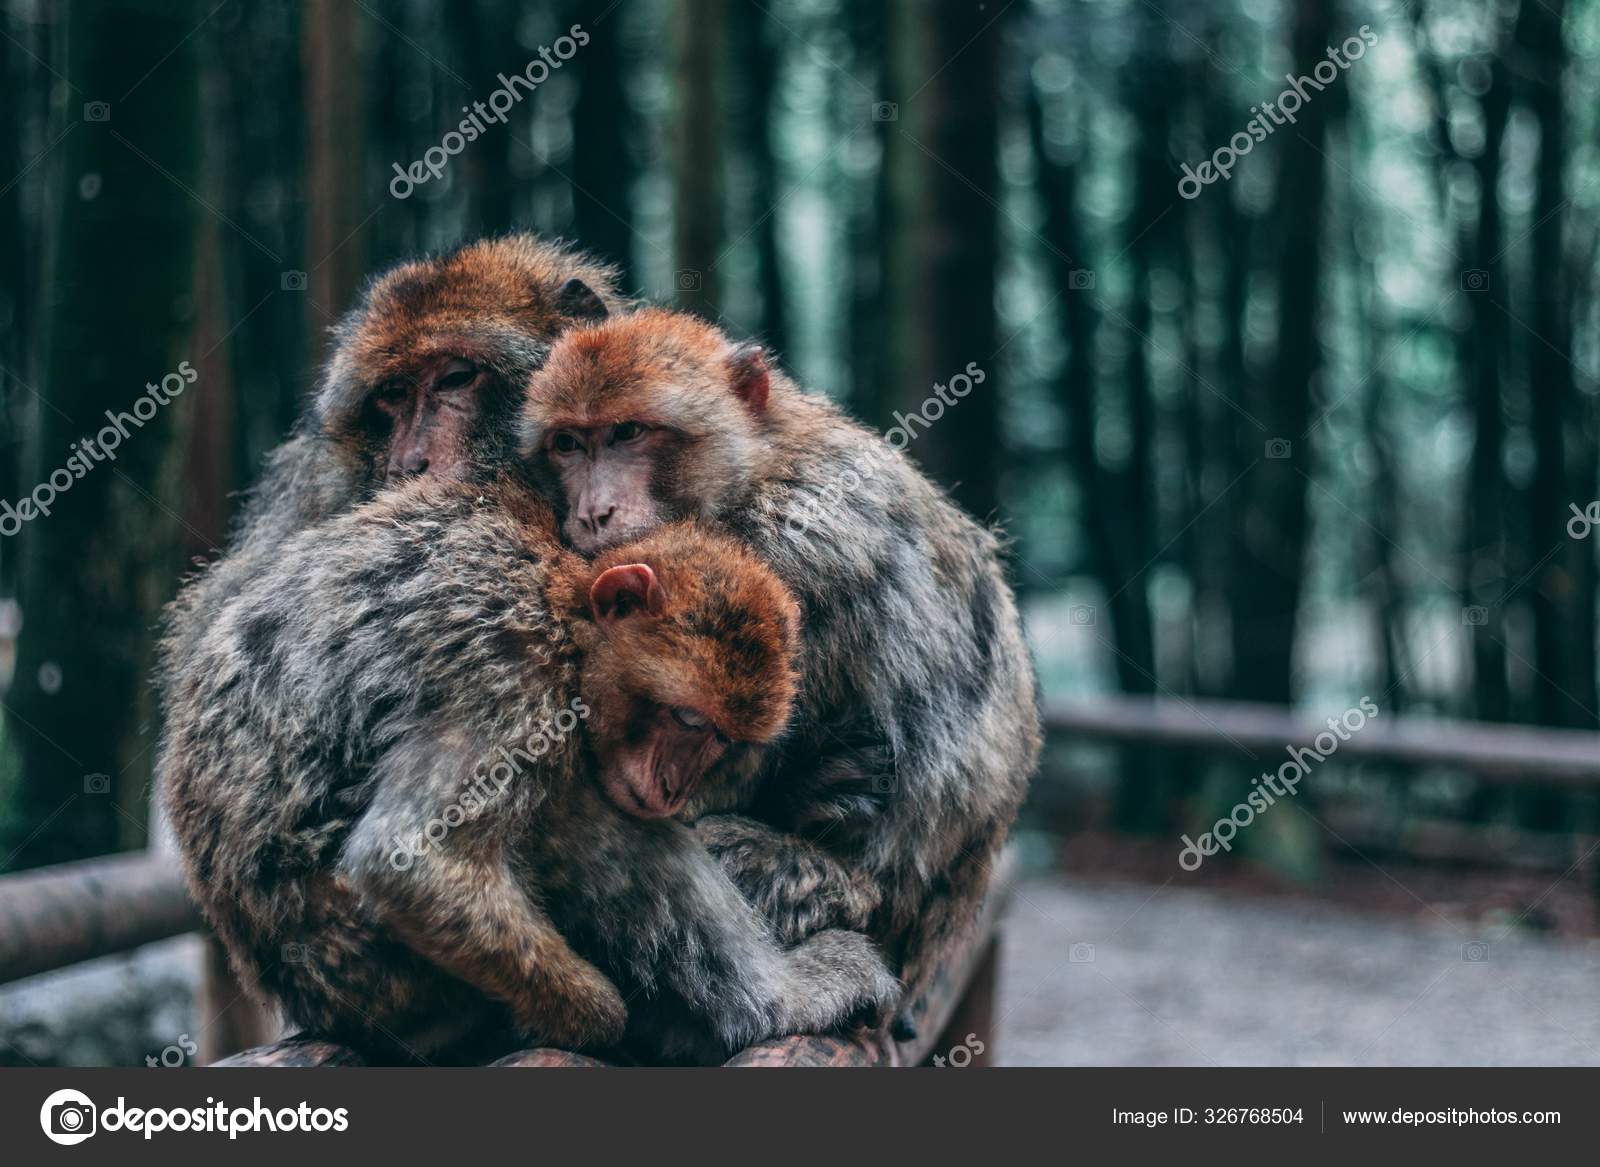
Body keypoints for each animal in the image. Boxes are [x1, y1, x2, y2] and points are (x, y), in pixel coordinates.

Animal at [158, 474, 898, 1065]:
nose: (673, 787)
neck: (560, 599)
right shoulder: (519, 677)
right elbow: (409, 860)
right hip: (366, 961)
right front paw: (602, 1019)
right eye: (688, 720)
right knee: (579, 814)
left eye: (718, 737)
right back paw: (779, 1001)